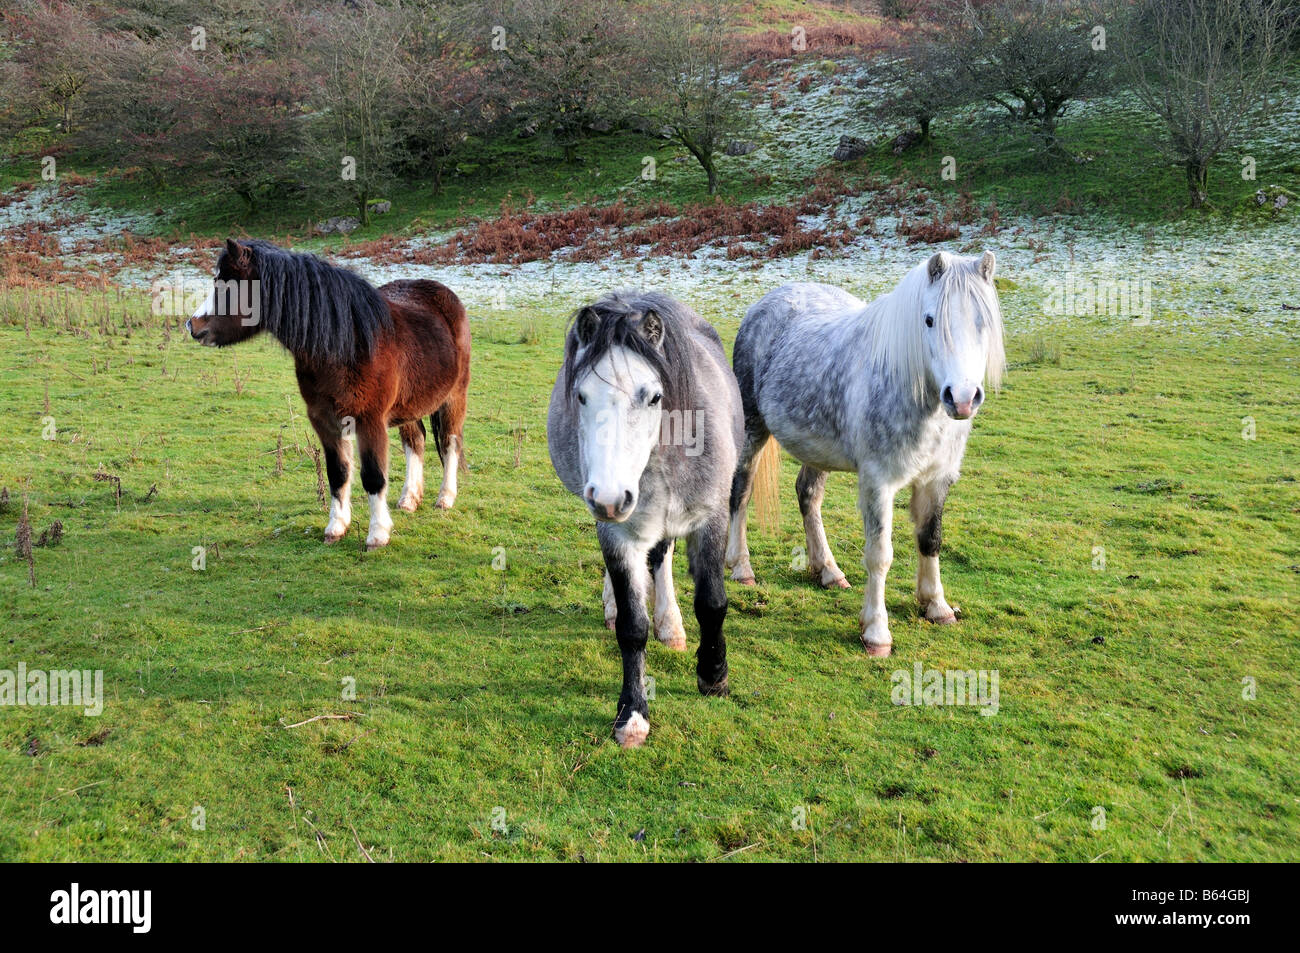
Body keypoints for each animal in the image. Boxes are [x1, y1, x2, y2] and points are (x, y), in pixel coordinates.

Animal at [187, 239, 470, 549]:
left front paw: (377, 534)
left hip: (454, 397)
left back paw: (445, 498)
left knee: (449, 442)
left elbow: (373, 476)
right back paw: (409, 499)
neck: (345, 346)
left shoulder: (369, 420)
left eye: (227, 286)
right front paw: (336, 527)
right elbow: (338, 473)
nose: (192, 325)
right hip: (409, 406)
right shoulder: (325, 420)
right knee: (415, 442)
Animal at [547, 291, 743, 748]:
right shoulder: (618, 533)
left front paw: (713, 677)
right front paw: (632, 715)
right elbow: (632, 626)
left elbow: (712, 603)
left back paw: (670, 625)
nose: (609, 496)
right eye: (581, 396)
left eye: (653, 397)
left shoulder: (710, 518)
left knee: (662, 556)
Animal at [727, 251, 1005, 657]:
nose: (963, 398)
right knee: (741, 492)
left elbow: (930, 539)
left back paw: (828, 571)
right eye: (929, 319)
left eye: (983, 321)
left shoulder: (937, 480)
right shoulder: (878, 483)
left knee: (808, 495)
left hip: (816, 449)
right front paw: (876, 633)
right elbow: (880, 554)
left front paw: (936, 606)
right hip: (752, 427)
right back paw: (741, 569)